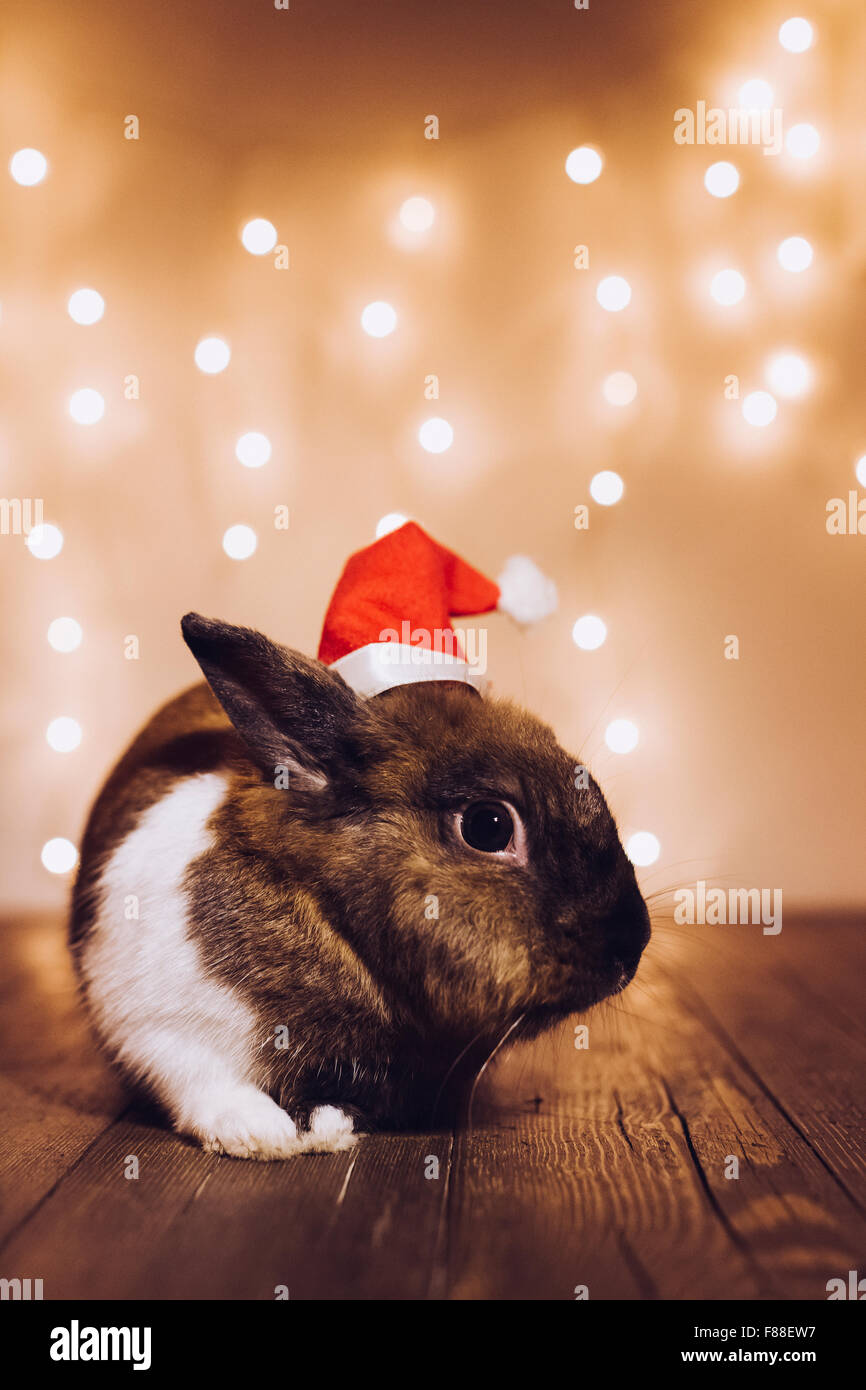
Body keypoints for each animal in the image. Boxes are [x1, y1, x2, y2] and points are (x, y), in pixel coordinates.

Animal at [69, 611, 651, 1159]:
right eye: (488, 826)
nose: (632, 945)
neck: (335, 929)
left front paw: (325, 1127)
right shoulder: (159, 1026)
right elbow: (207, 1084)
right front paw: (261, 1135)